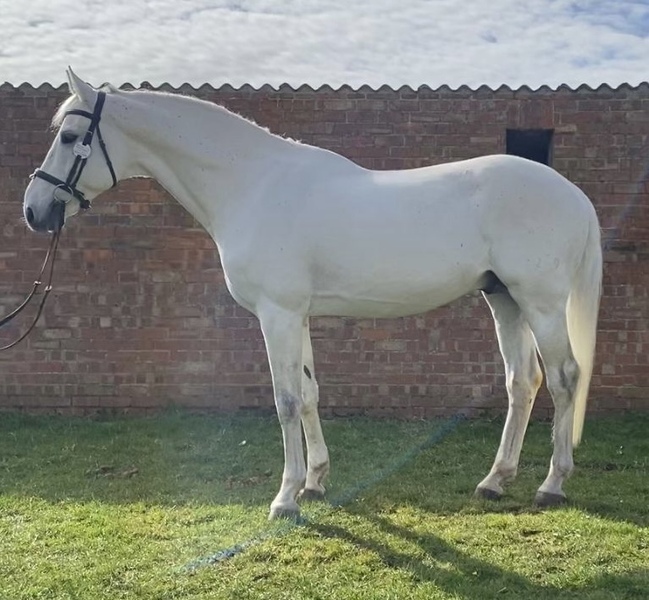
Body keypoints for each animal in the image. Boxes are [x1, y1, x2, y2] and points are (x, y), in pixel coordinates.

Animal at [23, 68, 602, 520]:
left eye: (71, 135)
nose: (34, 210)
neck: (253, 185)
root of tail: (574, 195)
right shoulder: (295, 315)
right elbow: (309, 393)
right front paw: (315, 482)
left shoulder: (276, 314)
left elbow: (284, 400)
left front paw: (284, 499)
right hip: (504, 300)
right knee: (522, 381)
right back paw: (494, 481)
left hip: (540, 303)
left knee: (564, 378)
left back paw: (552, 485)